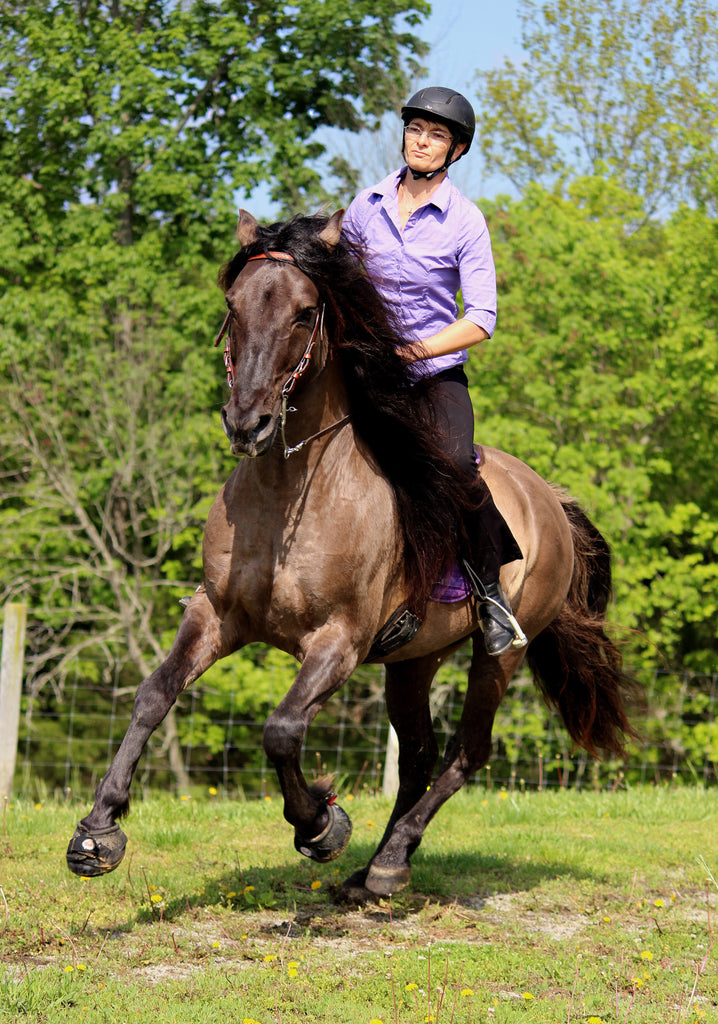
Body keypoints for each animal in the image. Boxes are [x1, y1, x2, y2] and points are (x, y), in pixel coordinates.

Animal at [66, 210, 636, 899]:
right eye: (233, 305)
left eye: (306, 312)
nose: (247, 424)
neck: (287, 495)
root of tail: (548, 496)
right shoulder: (215, 616)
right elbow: (154, 693)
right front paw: (98, 831)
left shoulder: (338, 642)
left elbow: (281, 730)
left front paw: (320, 824)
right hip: (415, 659)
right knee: (418, 753)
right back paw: (376, 868)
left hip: (500, 654)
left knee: (466, 752)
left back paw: (389, 861)